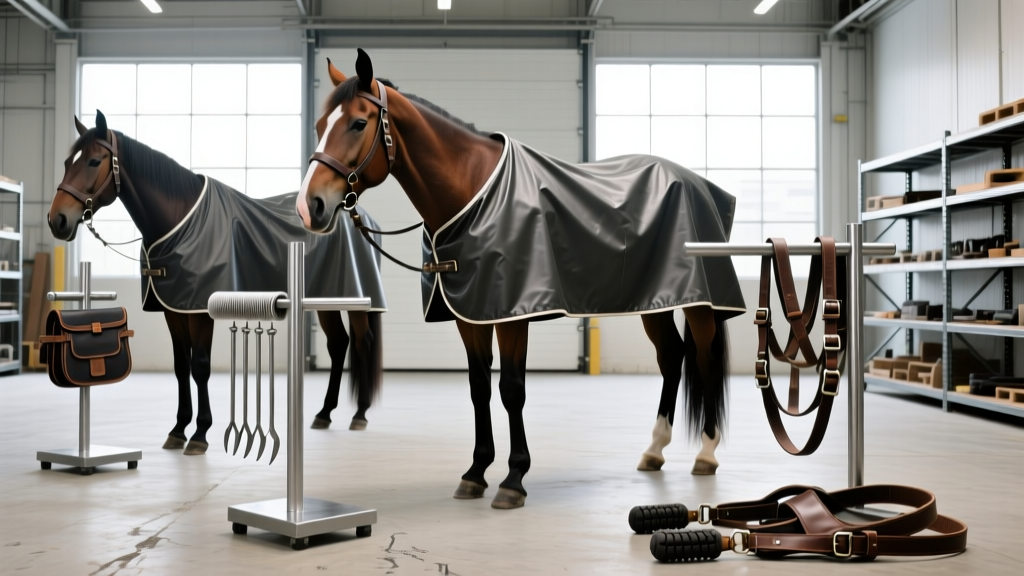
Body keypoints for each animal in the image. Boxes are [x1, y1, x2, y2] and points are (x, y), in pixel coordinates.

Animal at [48, 111, 388, 456]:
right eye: (66, 162)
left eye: (94, 161)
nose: (56, 220)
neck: (179, 220)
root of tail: (360, 216)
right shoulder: (174, 309)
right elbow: (181, 366)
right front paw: (178, 429)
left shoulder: (200, 310)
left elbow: (200, 365)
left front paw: (200, 434)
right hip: (326, 299)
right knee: (338, 344)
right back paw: (324, 413)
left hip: (357, 299)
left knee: (362, 342)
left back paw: (359, 414)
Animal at [298, 50, 745, 509]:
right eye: (320, 125)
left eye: (358, 123)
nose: (309, 205)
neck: (472, 190)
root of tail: (699, 184)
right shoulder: (470, 315)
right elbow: (479, 387)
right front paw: (475, 473)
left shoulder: (512, 315)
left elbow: (512, 389)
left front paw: (514, 479)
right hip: (656, 303)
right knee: (672, 357)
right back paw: (654, 450)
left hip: (699, 305)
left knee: (705, 360)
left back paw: (706, 454)